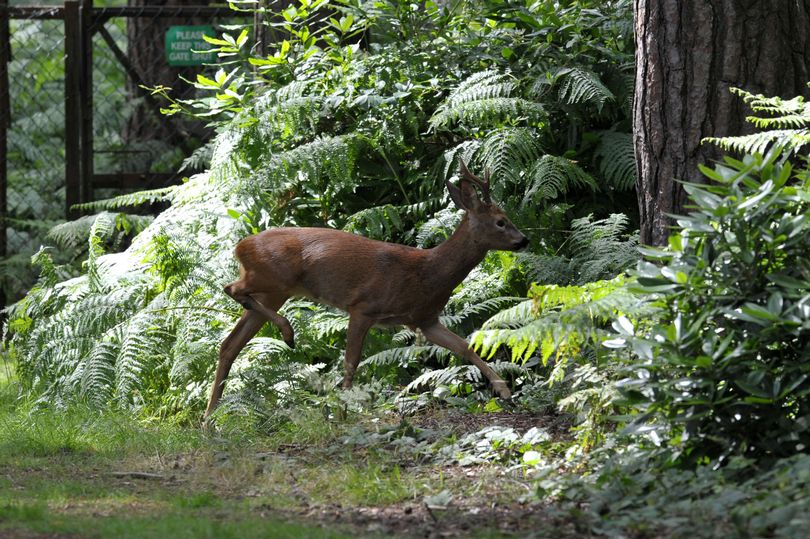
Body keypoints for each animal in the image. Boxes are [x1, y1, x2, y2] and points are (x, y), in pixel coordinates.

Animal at [203, 160, 529, 420]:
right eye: (501, 222)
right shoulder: (363, 307)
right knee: (230, 288)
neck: (428, 273)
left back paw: (210, 420)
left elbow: (464, 346)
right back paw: (287, 332)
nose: (524, 240)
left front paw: (504, 391)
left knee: (230, 343)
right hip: (274, 277)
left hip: (274, 292)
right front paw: (342, 414)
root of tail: (239, 246)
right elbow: (351, 363)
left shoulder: (424, 319)